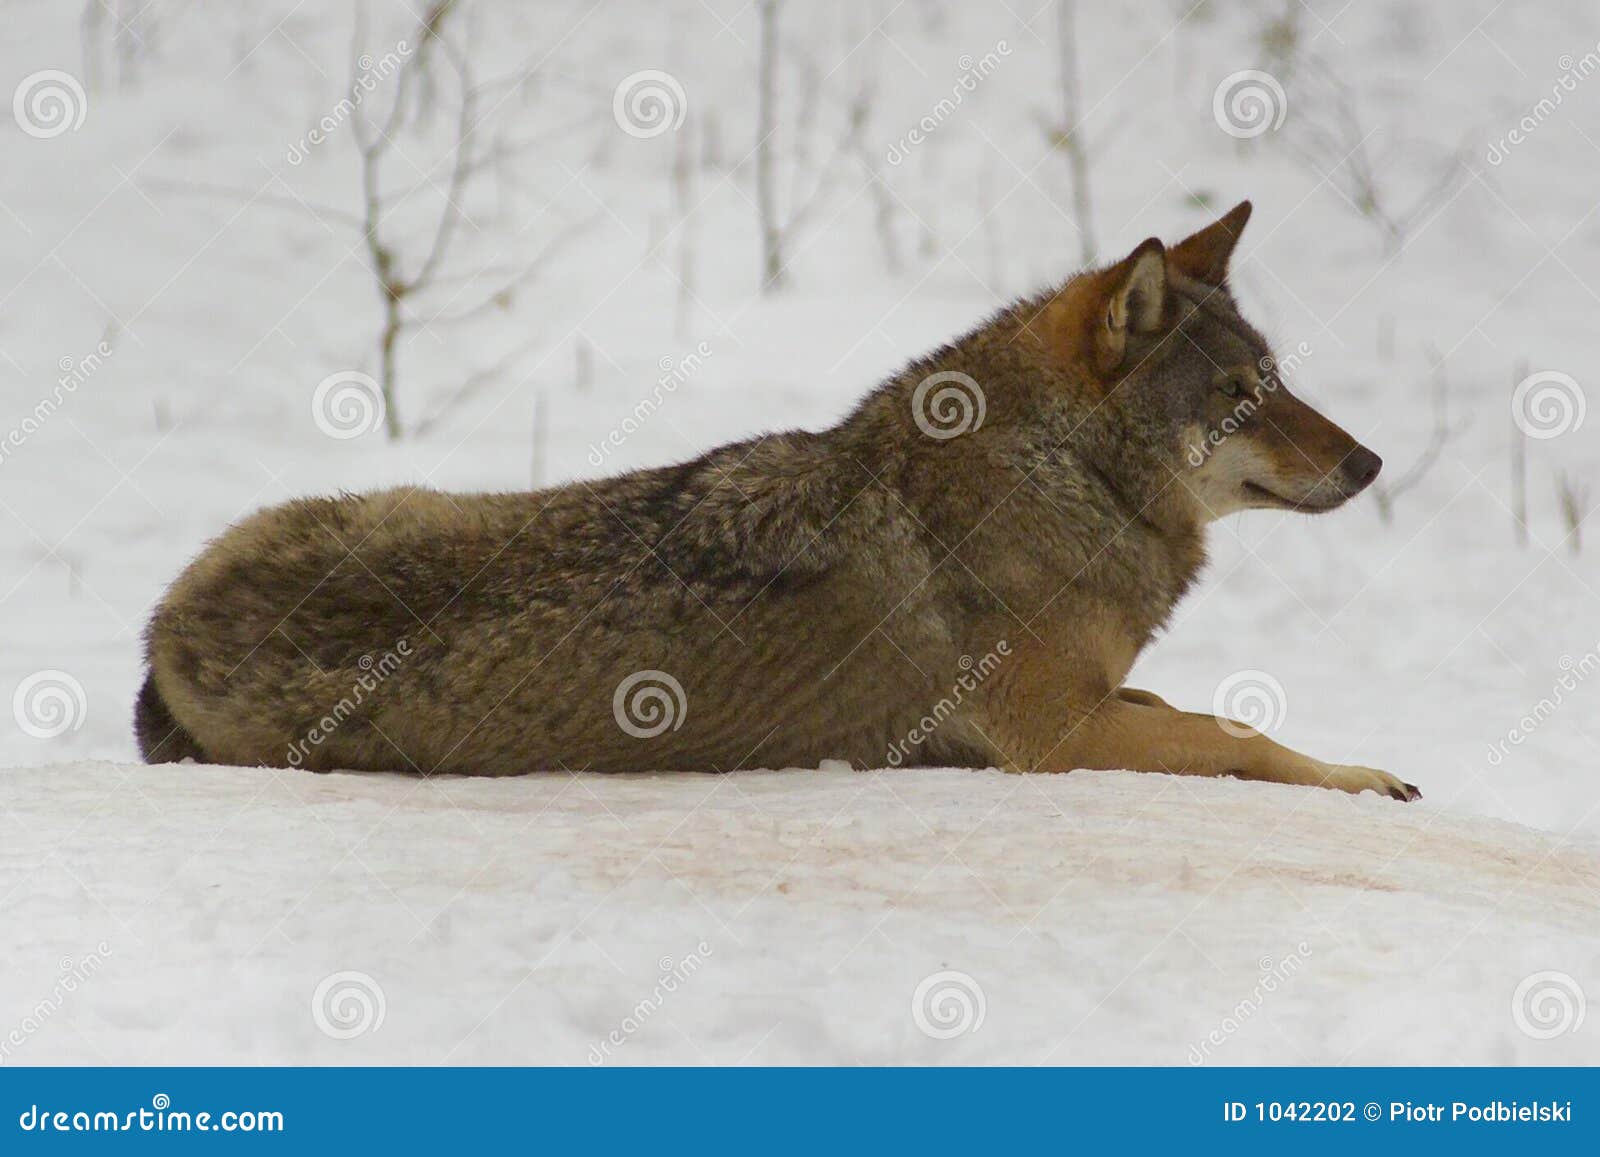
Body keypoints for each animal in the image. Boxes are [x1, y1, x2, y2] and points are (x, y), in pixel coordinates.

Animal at [136, 201, 1418, 801]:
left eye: (1278, 381)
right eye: (1241, 399)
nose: (1370, 463)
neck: (1061, 476)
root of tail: (161, 629)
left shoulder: (1099, 698)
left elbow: (1200, 708)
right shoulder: (1063, 737)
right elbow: (1235, 731)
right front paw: (1365, 777)